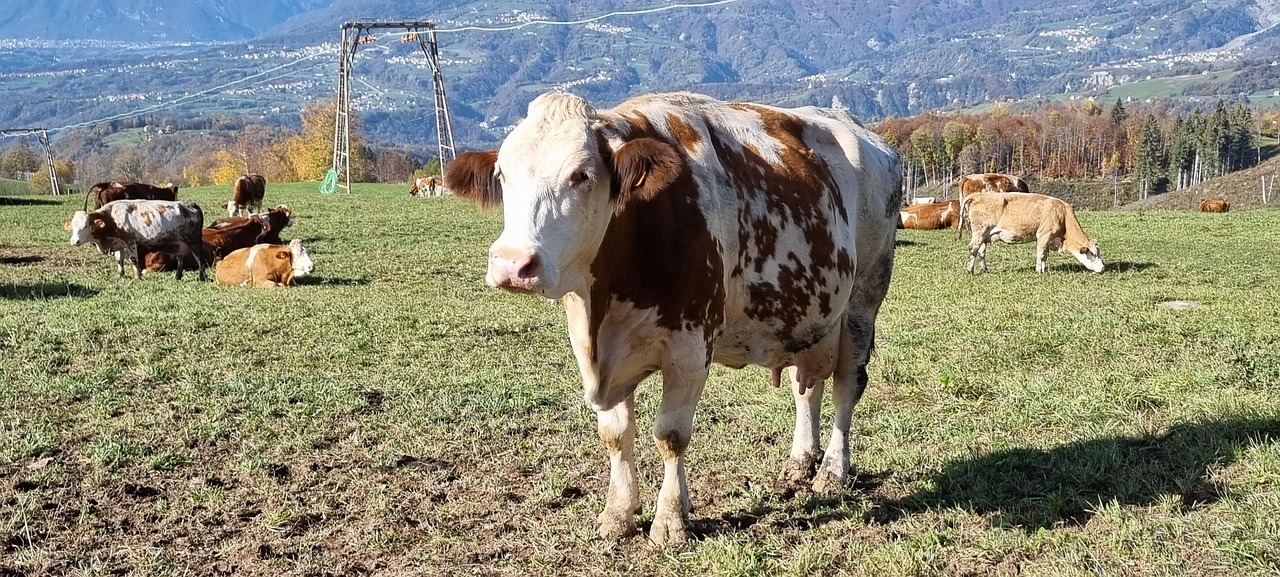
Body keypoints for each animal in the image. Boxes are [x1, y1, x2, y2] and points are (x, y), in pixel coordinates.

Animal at [67, 199, 207, 280]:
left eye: (86, 225)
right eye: (73, 225)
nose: (74, 241)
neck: (111, 218)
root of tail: (190, 205)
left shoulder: (130, 242)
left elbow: (134, 260)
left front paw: (137, 277)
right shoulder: (120, 244)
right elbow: (119, 260)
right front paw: (121, 275)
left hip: (193, 241)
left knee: (200, 258)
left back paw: (201, 277)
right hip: (177, 244)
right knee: (180, 260)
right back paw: (177, 276)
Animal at [444, 91, 902, 545]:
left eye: (581, 175)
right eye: (502, 174)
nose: (512, 263)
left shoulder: (690, 348)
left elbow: (671, 434)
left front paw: (670, 521)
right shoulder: (593, 346)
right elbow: (615, 434)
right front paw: (617, 515)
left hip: (863, 302)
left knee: (846, 386)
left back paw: (832, 471)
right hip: (807, 319)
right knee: (806, 388)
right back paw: (802, 461)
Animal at [963, 192, 1104, 274]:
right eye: (1093, 254)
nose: (1102, 268)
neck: (1062, 214)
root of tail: (977, 196)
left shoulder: (1048, 239)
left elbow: (1045, 255)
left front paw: (1044, 270)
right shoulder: (1043, 236)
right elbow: (1040, 254)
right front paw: (1039, 271)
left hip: (983, 236)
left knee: (981, 251)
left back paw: (984, 269)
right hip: (979, 232)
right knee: (973, 249)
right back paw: (970, 271)